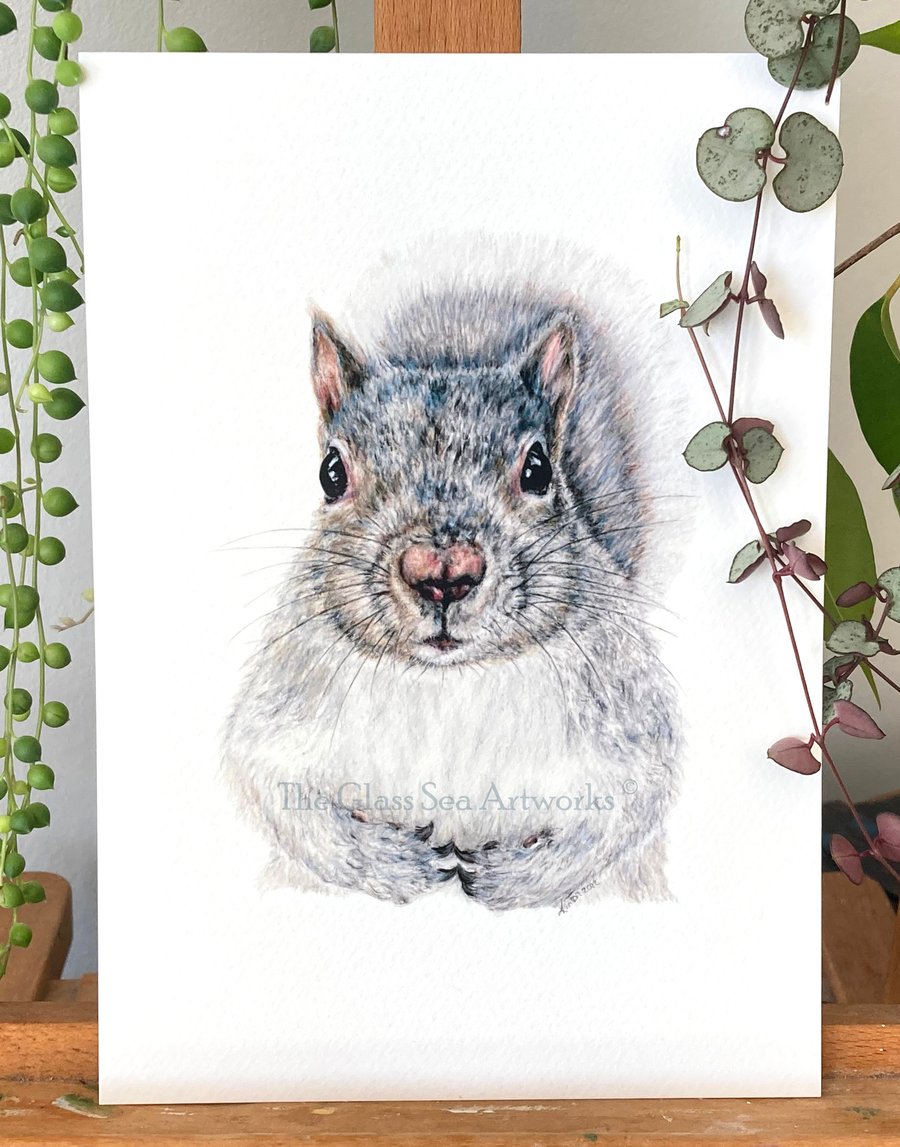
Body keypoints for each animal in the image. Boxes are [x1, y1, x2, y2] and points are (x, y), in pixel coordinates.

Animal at [222, 241, 683, 912]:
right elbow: (277, 792)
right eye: (331, 472)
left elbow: (630, 805)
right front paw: (394, 866)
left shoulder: (627, 720)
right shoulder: (281, 710)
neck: (447, 682)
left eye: (539, 469)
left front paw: (515, 879)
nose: (443, 573)